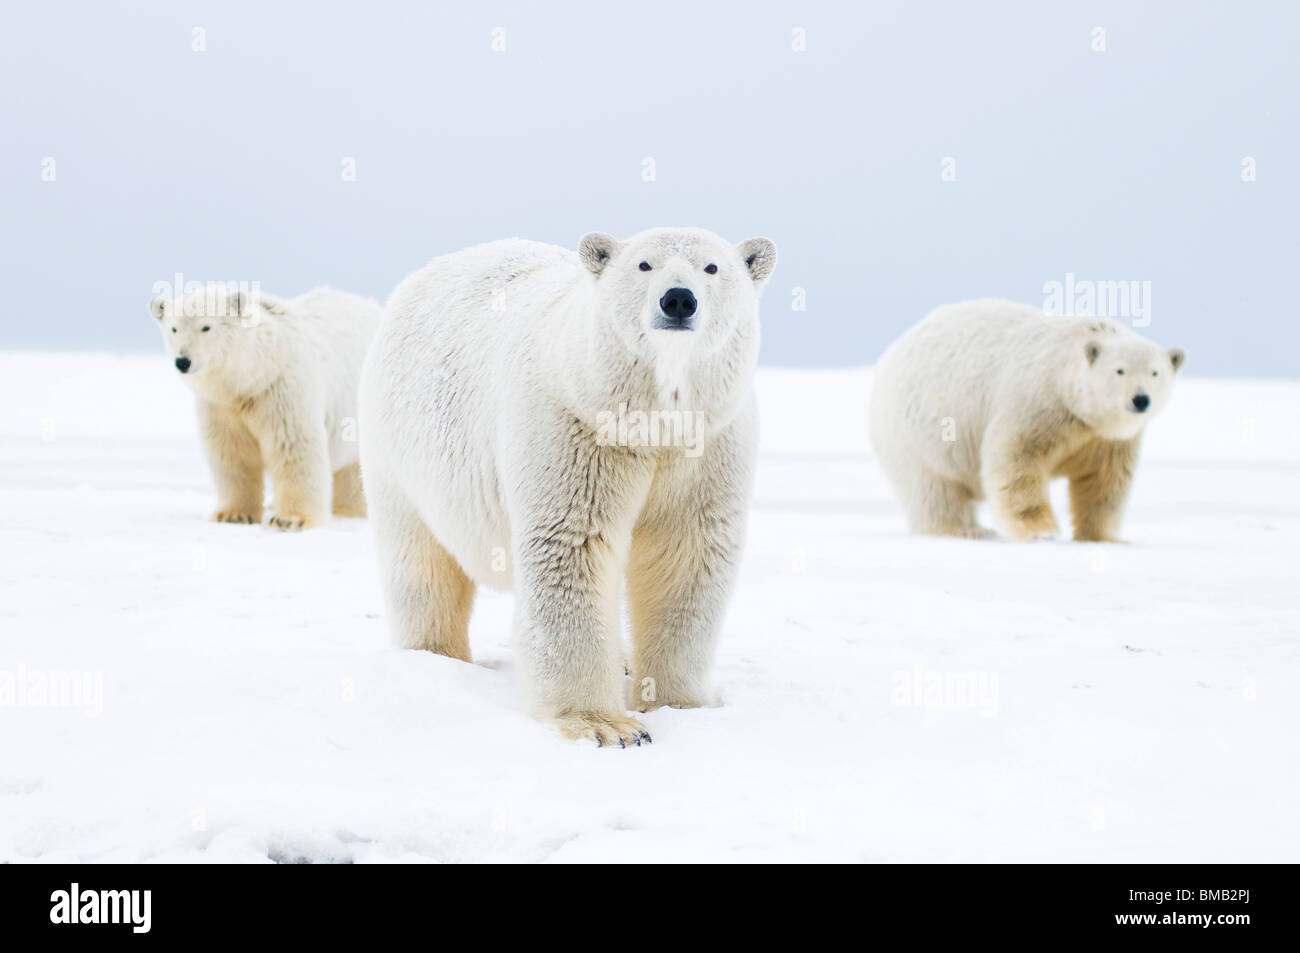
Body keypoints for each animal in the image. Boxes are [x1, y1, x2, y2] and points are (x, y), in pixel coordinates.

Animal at [149, 285, 381, 530]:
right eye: (174, 328)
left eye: (206, 326)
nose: (183, 361)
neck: (256, 374)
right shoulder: (221, 406)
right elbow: (232, 452)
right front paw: (233, 514)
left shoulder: (281, 391)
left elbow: (293, 446)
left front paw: (292, 519)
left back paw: (347, 508)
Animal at [358, 228, 777, 746]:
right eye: (644, 265)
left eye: (712, 267)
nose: (678, 299)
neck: (651, 424)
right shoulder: (575, 428)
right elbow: (572, 546)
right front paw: (607, 726)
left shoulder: (708, 446)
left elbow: (685, 556)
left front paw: (679, 702)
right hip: (400, 450)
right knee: (421, 561)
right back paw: (435, 655)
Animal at [869, 299, 1185, 542]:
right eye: (1120, 370)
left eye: (1155, 372)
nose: (1140, 399)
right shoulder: (1038, 403)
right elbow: (1015, 460)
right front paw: (1042, 532)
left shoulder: (1107, 438)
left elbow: (1105, 482)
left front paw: (1104, 537)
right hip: (914, 433)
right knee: (935, 489)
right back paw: (963, 530)